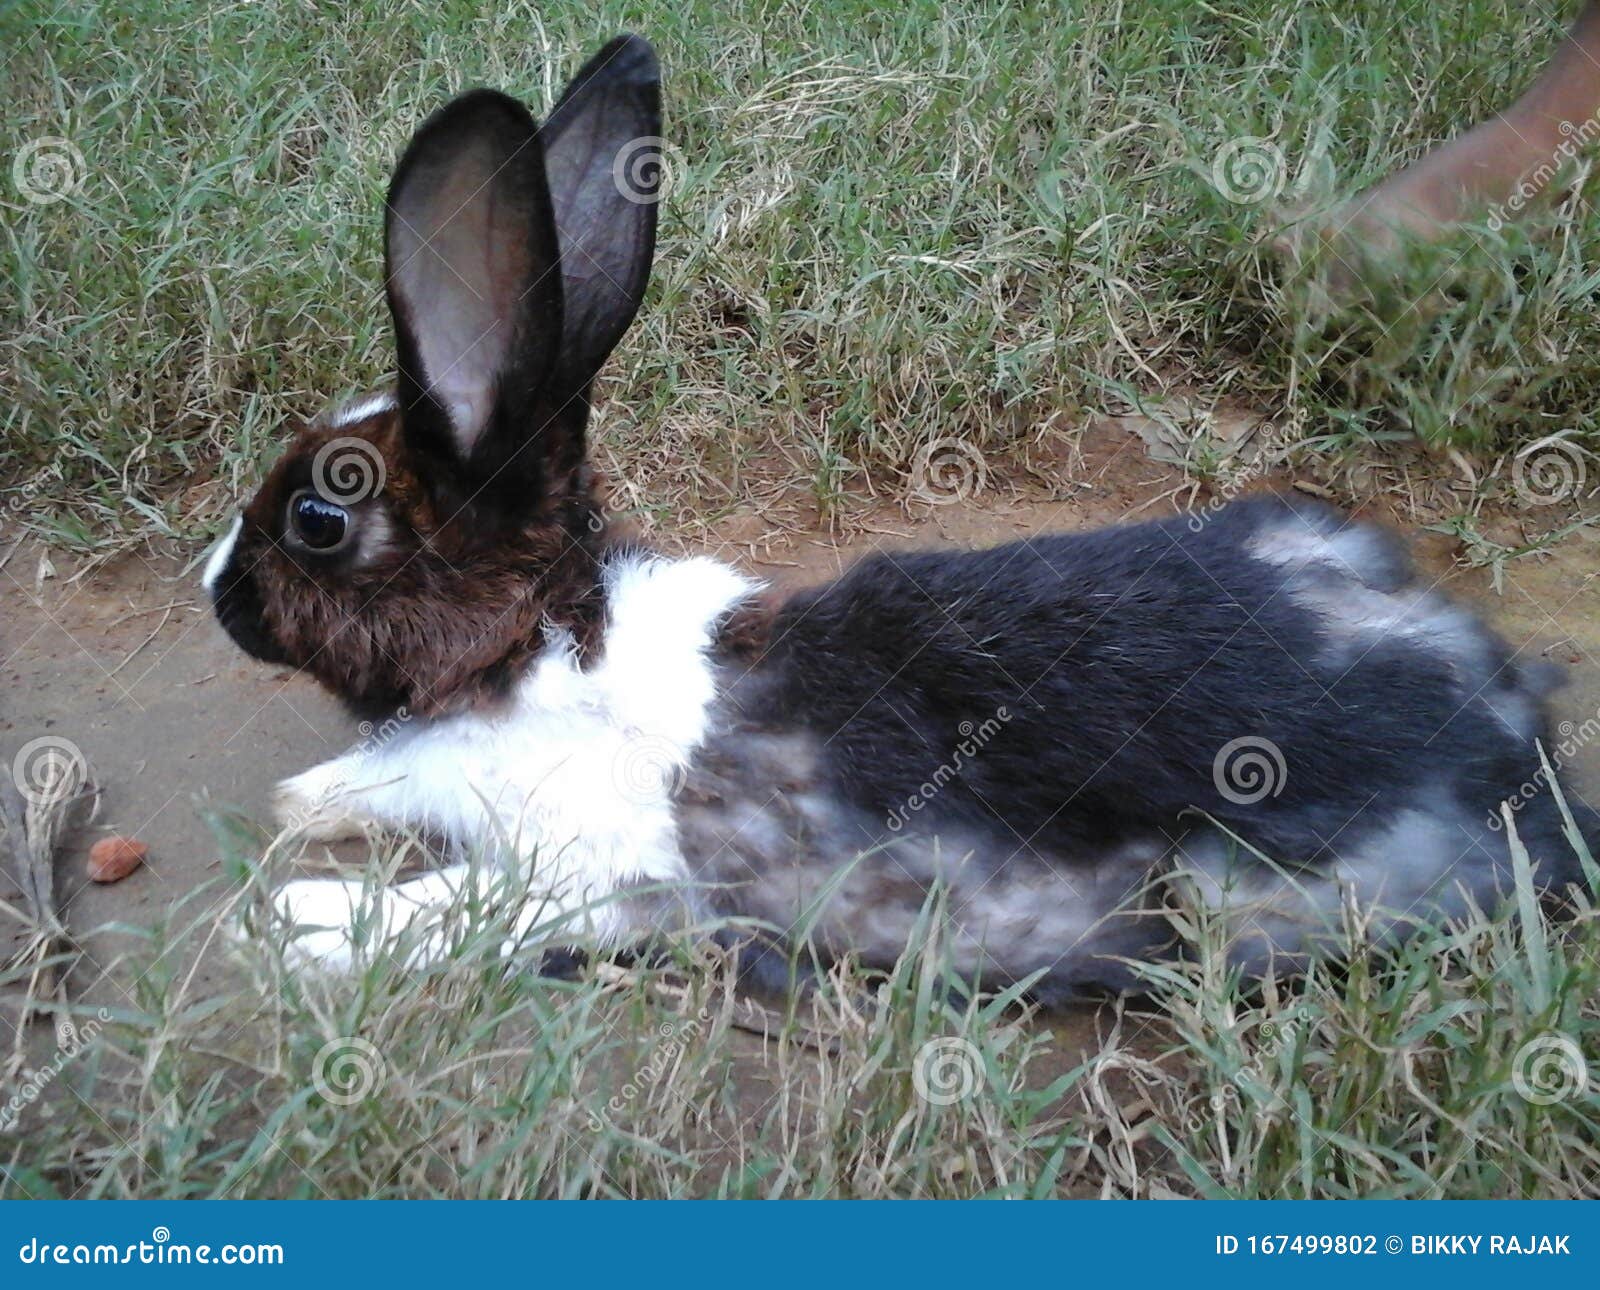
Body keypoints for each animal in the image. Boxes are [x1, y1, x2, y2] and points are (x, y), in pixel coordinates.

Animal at [204, 33, 1594, 998]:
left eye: (319, 516)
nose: (216, 594)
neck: (539, 656)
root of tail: (1510, 728)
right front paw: (306, 803)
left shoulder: (629, 879)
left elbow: (471, 908)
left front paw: (297, 926)